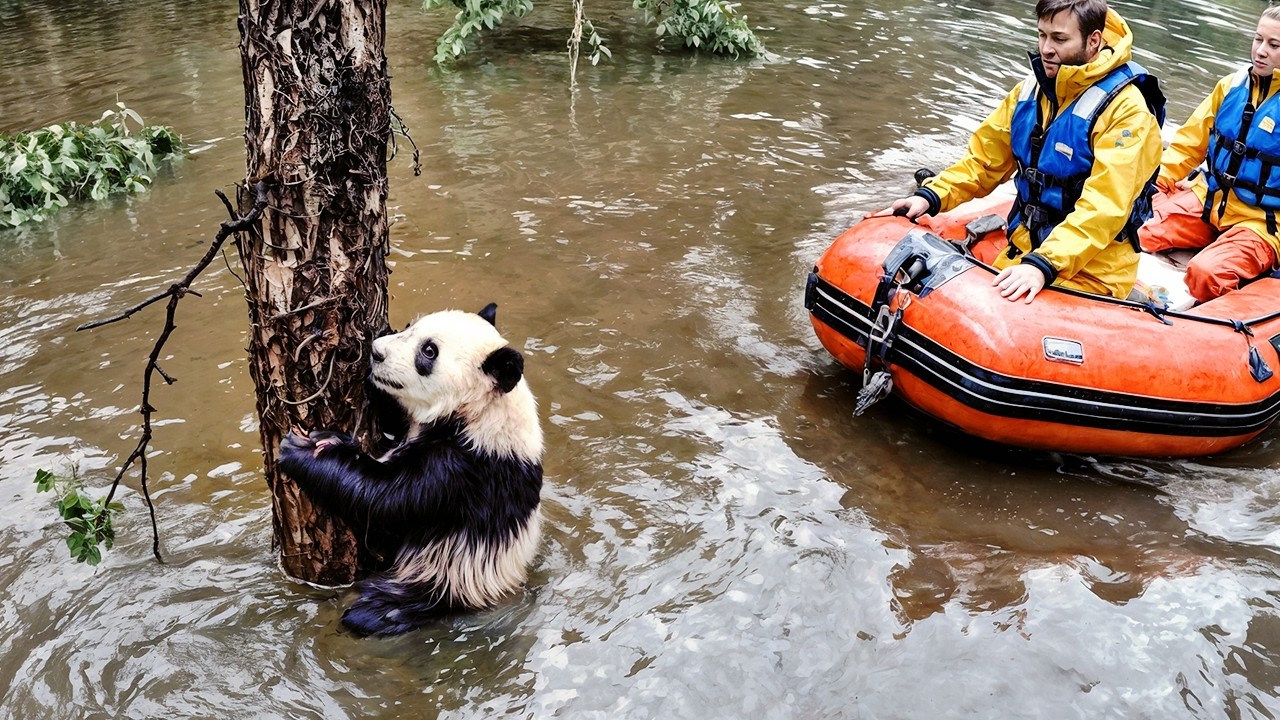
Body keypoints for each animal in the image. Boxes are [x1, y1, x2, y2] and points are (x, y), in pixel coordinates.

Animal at [278, 303, 543, 637]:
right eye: (410, 327)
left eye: (429, 351)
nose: (376, 353)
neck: (481, 413)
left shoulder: (463, 469)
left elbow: (385, 500)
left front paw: (303, 451)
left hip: (452, 579)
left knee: (395, 605)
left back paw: (371, 610)